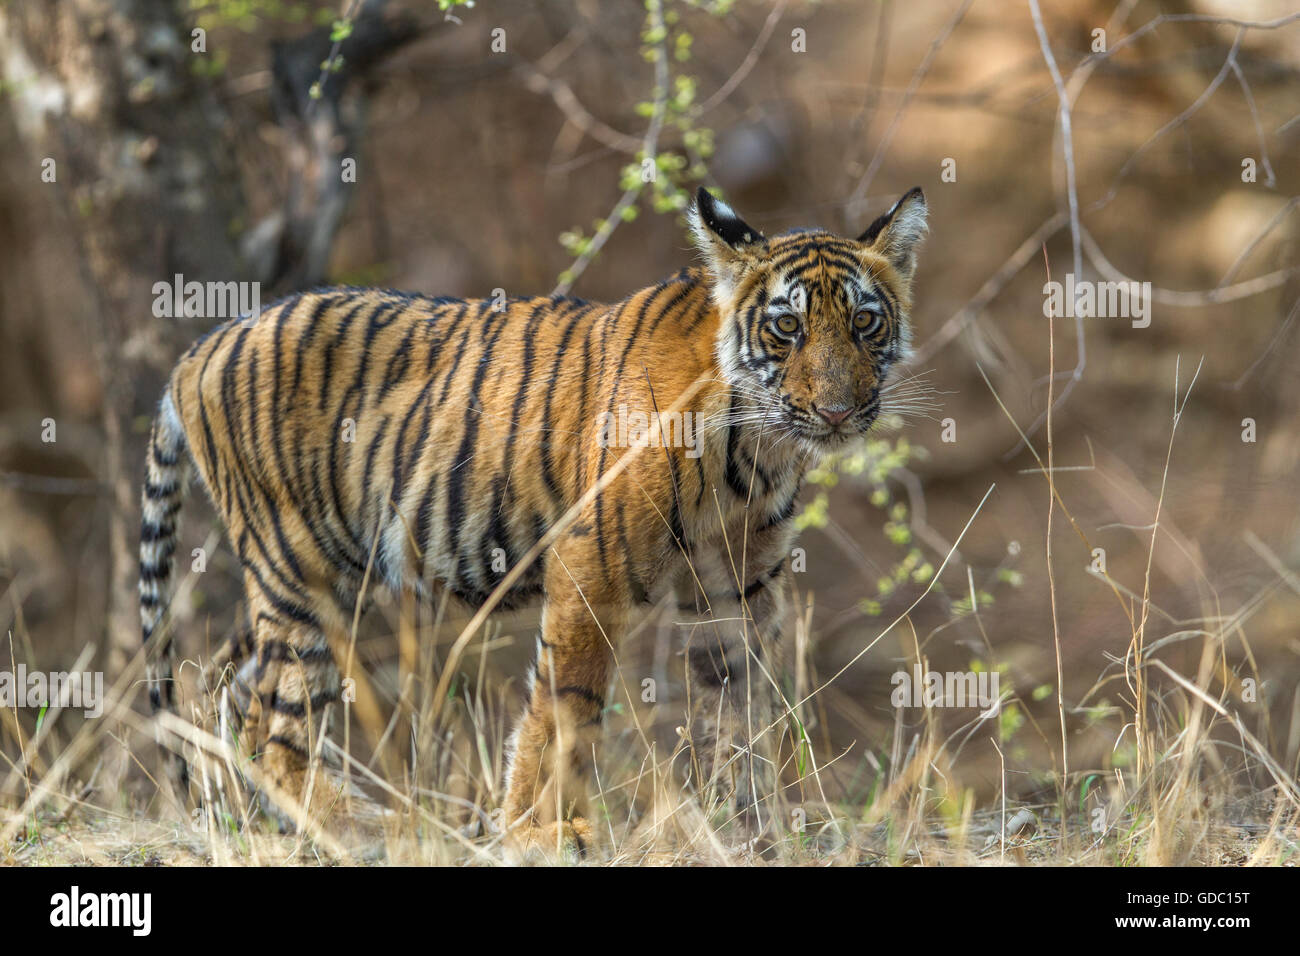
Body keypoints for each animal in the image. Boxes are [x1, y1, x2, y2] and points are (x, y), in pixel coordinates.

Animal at [139, 185, 928, 857]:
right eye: (786, 327)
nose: (837, 412)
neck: (757, 448)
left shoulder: (737, 587)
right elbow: (565, 704)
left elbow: (736, 711)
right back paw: (360, 826)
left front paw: (749, 826)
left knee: (230, 697)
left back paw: (258, 823)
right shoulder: (591, 564)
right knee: (274, 725)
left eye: (864, 322)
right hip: (304, 572)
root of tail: (196, 351)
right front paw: (540, 830)